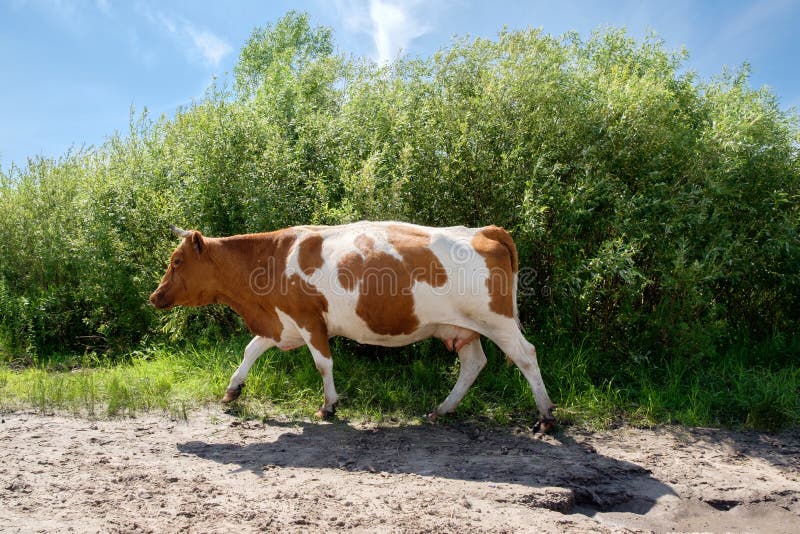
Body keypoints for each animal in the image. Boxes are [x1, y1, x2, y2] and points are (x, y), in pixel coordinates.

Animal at [149, 221, 556, 431]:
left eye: (177, 261)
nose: (154, 297)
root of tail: (484, 230)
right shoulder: (280, 322)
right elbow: (251, 349)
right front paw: (232, 390)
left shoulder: (308, 319)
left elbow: (323, 363)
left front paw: (328, 406)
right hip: (460, 326)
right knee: (473, 364)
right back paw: (442, 409)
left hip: (496, 319)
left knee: (526, 356)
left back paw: (546, 416)